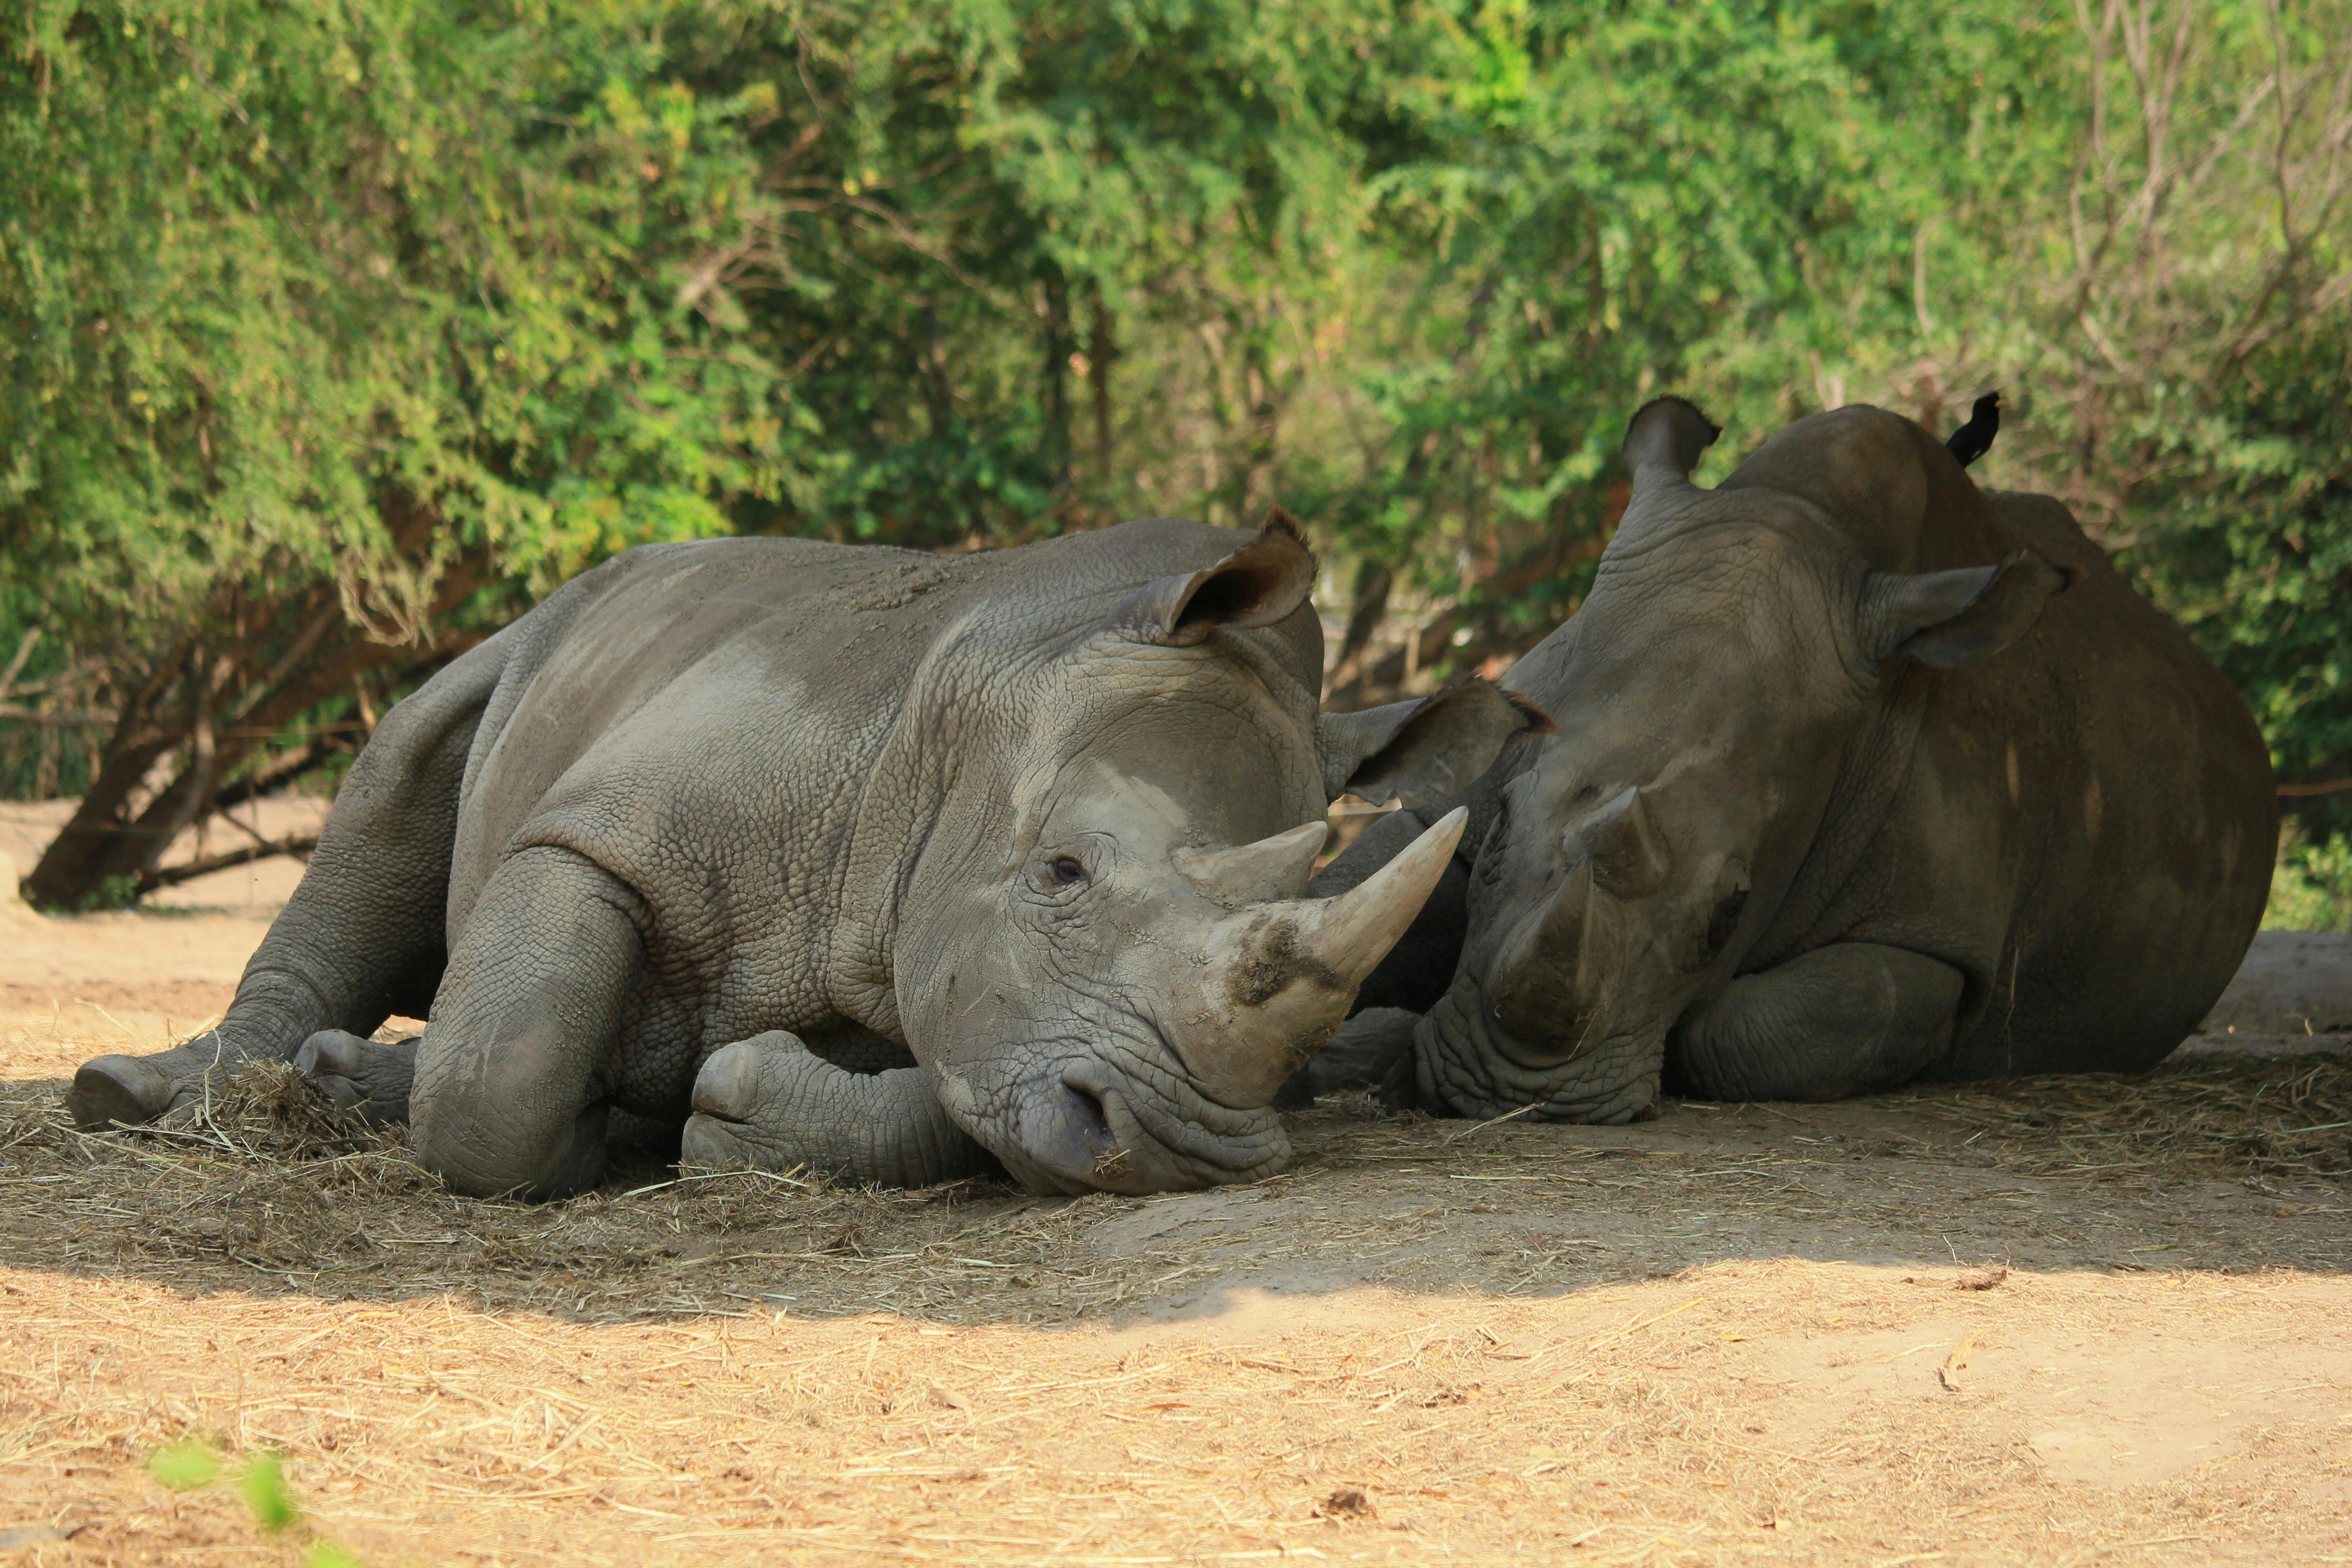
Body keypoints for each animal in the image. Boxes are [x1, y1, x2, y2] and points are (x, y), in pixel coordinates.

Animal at [65, 516, 1541, 1195]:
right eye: (1061, 874)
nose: (1173, 1148)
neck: (970, 715)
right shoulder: (604, 828)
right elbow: (501, 1084)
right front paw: (593, 1120)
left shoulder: (959, 981)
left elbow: (958, 1092)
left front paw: (715, 1111)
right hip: (538, 631)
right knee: (399, 779)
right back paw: (139, 1097)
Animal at [1312, 399, 2277, 1120]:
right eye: (1501, 828)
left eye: (1728, 915)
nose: (1510, 1091)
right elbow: (1368, 888)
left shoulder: (1936, 938)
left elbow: (1746, 1028)